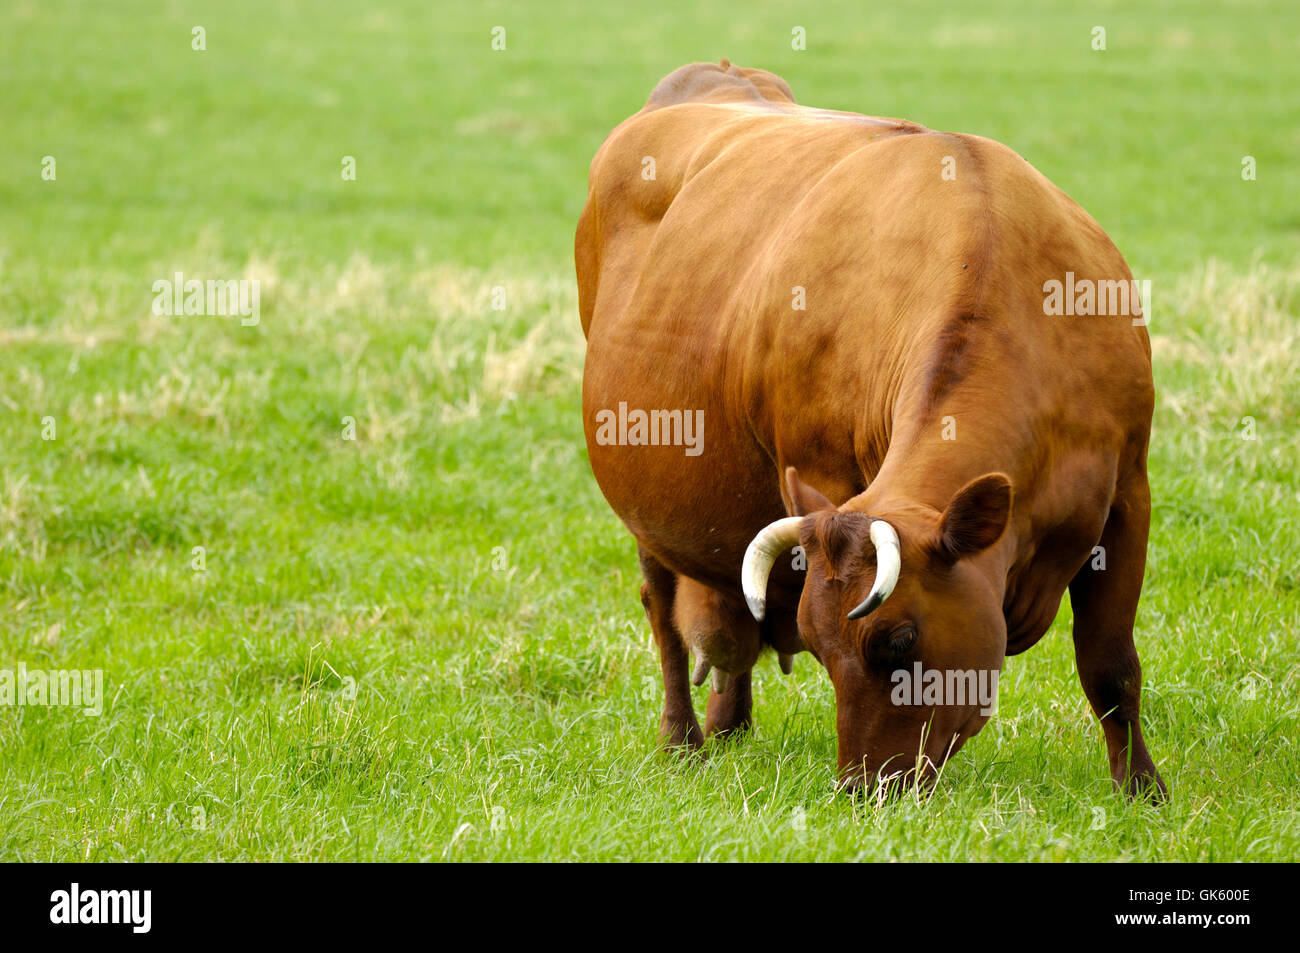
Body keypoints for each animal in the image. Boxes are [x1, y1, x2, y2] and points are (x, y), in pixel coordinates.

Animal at [576, 59, 1166, 799]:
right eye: (824, 650)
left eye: (899, 642)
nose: (859, 788)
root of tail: (716, 75)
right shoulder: (824, 475)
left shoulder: (1129, 489)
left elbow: (1110, 664)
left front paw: (1142, 791)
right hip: (644, 502)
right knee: (664, 612)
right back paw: (682, 740)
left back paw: (728, 723)